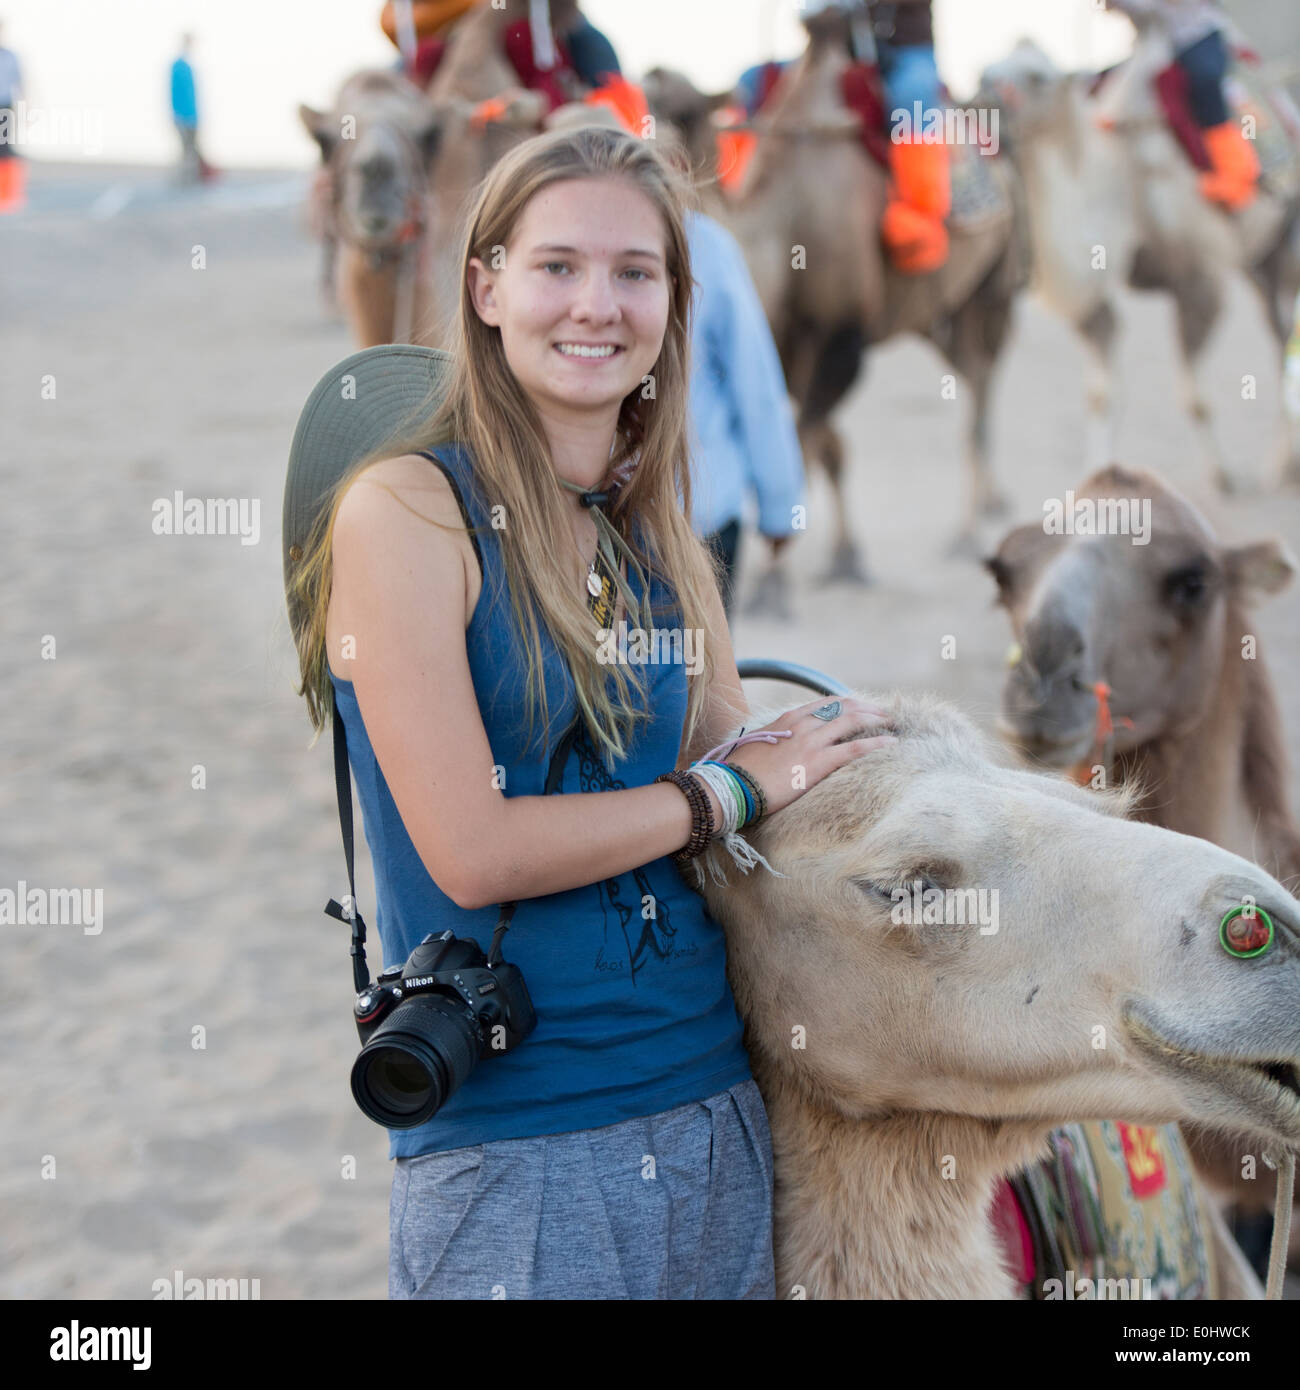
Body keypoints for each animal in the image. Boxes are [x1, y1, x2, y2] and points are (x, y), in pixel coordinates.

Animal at [642, 7, 1027, 607]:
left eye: (684, 109)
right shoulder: (786, 338)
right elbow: (827, 447)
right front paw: (846, 559)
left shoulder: (843, 335)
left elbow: (802, 443)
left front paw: (773, 584)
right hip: (935, 314)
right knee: (971, 373)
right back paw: (993, 501)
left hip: (989, 287)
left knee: (982, 387)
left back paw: (967, 534)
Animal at [978, 35, 1300, 491]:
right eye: (986, 66)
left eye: (1038, 76)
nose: (980, 93)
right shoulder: (1095, 304)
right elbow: (1100, 396)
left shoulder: (1197, 279)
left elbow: (1195, 399)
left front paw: (1222, 478)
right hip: (1258, 256)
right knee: (1277, 333)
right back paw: (1282, 463)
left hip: (1286, 239)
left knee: (1282, 334)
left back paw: (1279, 466)